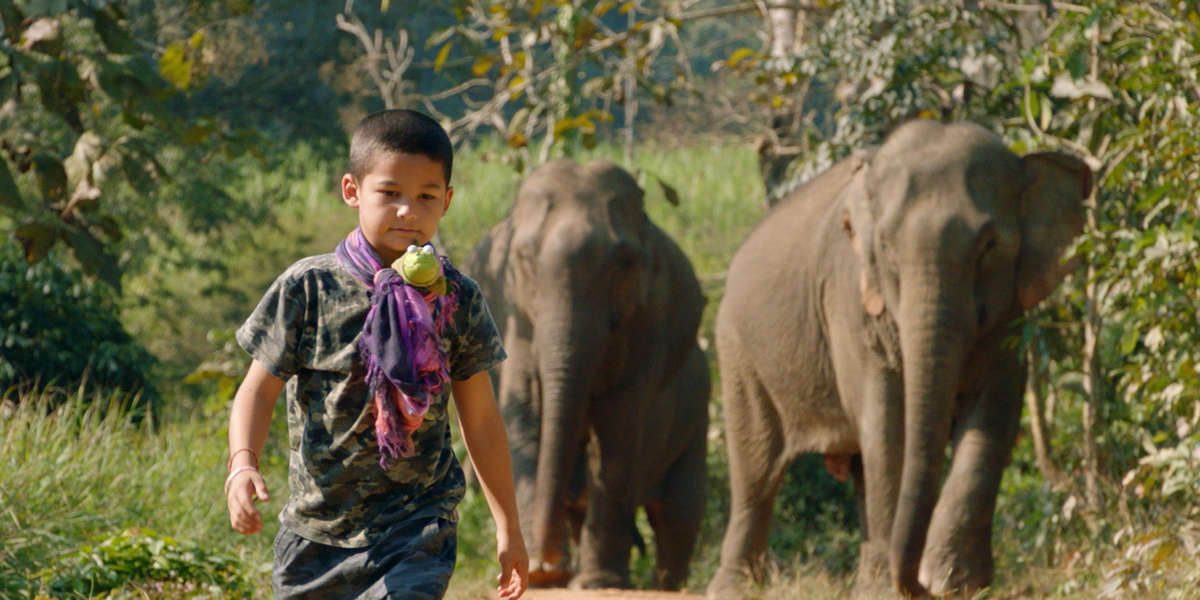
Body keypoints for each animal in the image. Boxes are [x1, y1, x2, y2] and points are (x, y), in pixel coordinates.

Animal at [463, 158, 710, 590]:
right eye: (524, 260)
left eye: (622, 263)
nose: (547, 564)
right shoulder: (512, 315)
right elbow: (524, 414)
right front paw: (544, 577)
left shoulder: (648, 322)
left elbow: (619, 426)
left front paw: (598, 582)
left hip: (698, 417)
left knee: (679, 511)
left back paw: (663, 585)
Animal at [706, 120, 1092, 599]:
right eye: (887, 247)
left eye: (989, 245)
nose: (917, 585)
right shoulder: (850, 304)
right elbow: (887, 425)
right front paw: (902, 589)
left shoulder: (1012, 317)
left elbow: (993, 418)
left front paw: (957, 582)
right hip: (737, 349)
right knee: (756, 469)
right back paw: (735, 587)